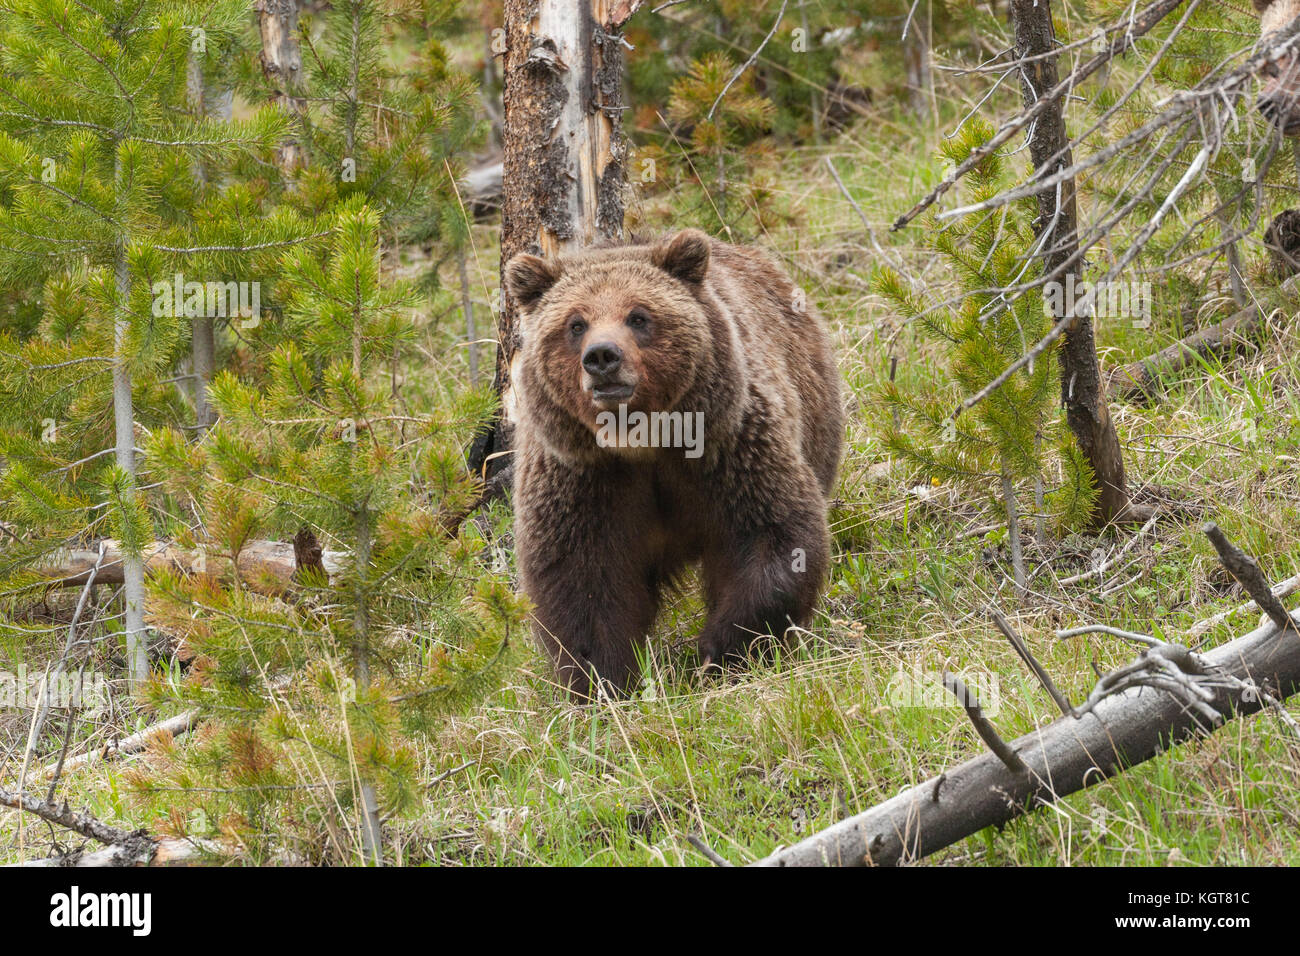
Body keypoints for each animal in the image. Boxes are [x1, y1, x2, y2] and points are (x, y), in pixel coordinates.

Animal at [503, 229, 844, 700]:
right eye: (575, 323)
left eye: (638, 316)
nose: (602, 357)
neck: (642, 442)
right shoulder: (583, 477)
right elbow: (580, 580)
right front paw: (605, 681)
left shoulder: (728, 449)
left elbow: (771, 536)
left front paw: (722, 653)